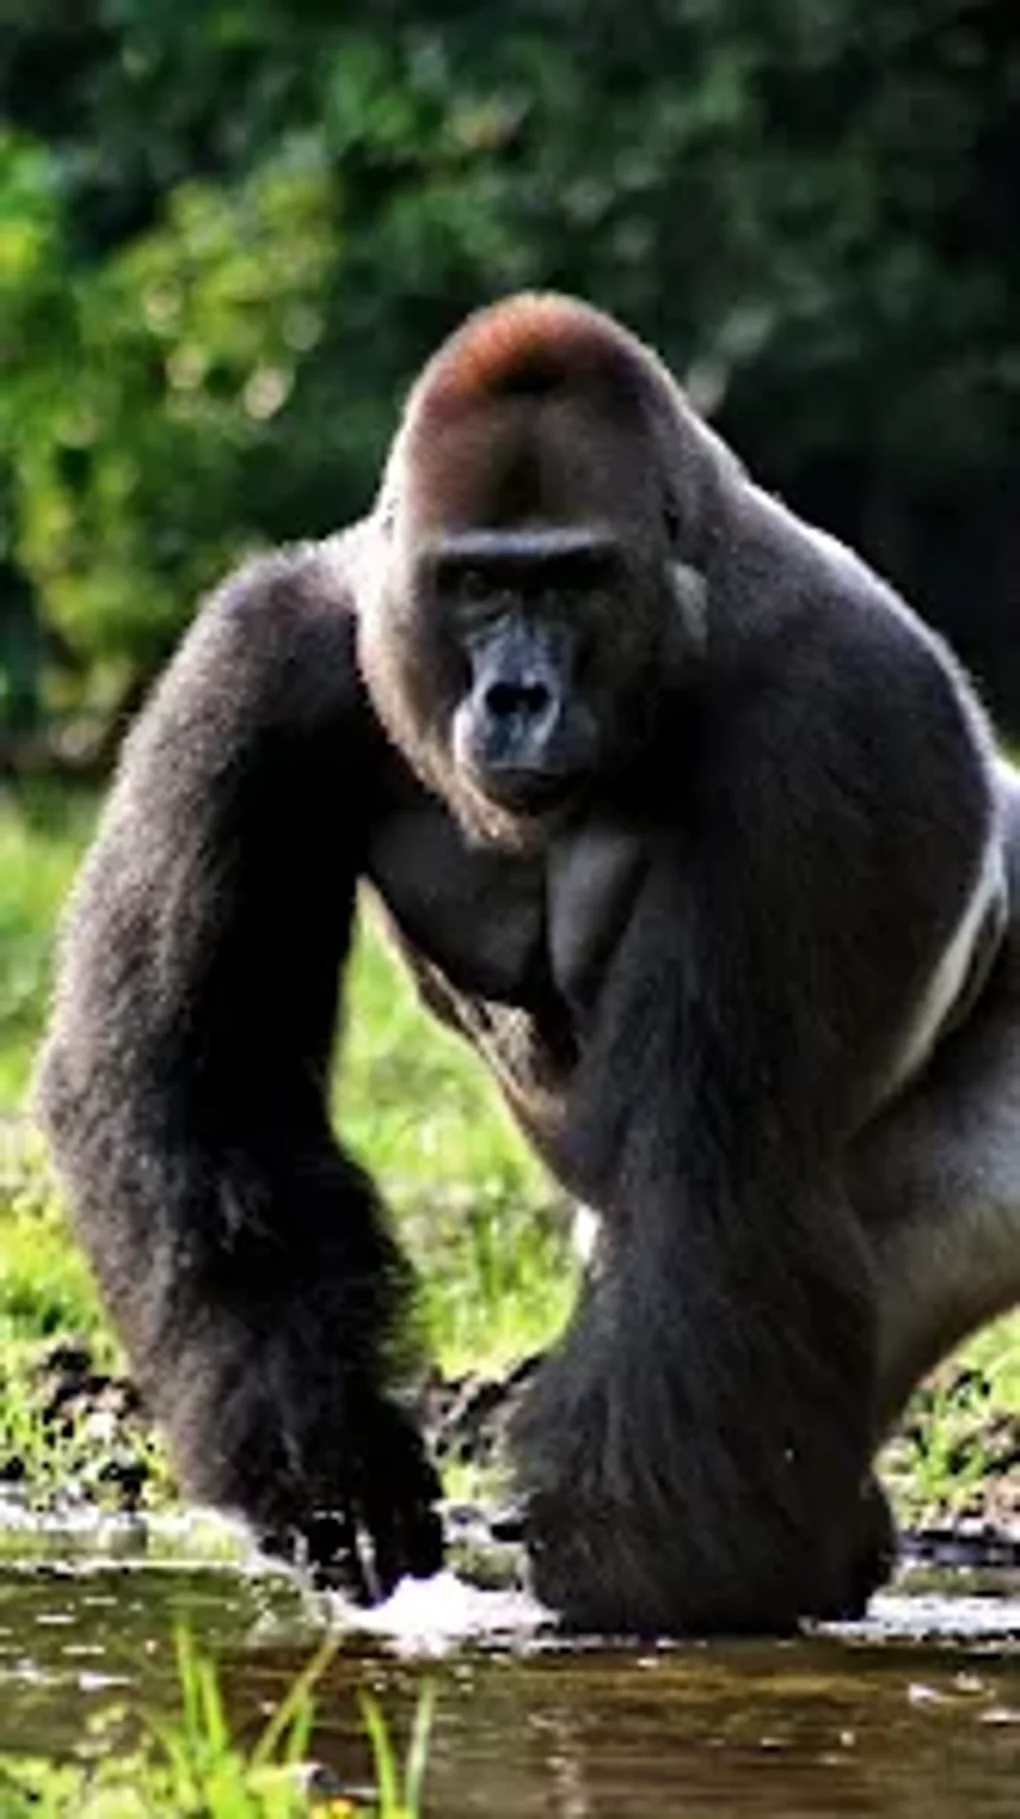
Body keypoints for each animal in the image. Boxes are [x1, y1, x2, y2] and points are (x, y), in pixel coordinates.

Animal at [34, 293, 1020, 1636]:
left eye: (573, 578)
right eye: (478, 583)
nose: (517, 694)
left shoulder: (829, 709)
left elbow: (712, 1172)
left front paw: (642, 1579)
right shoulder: (261, 658)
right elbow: (194, 1079)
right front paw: (337, 1473)